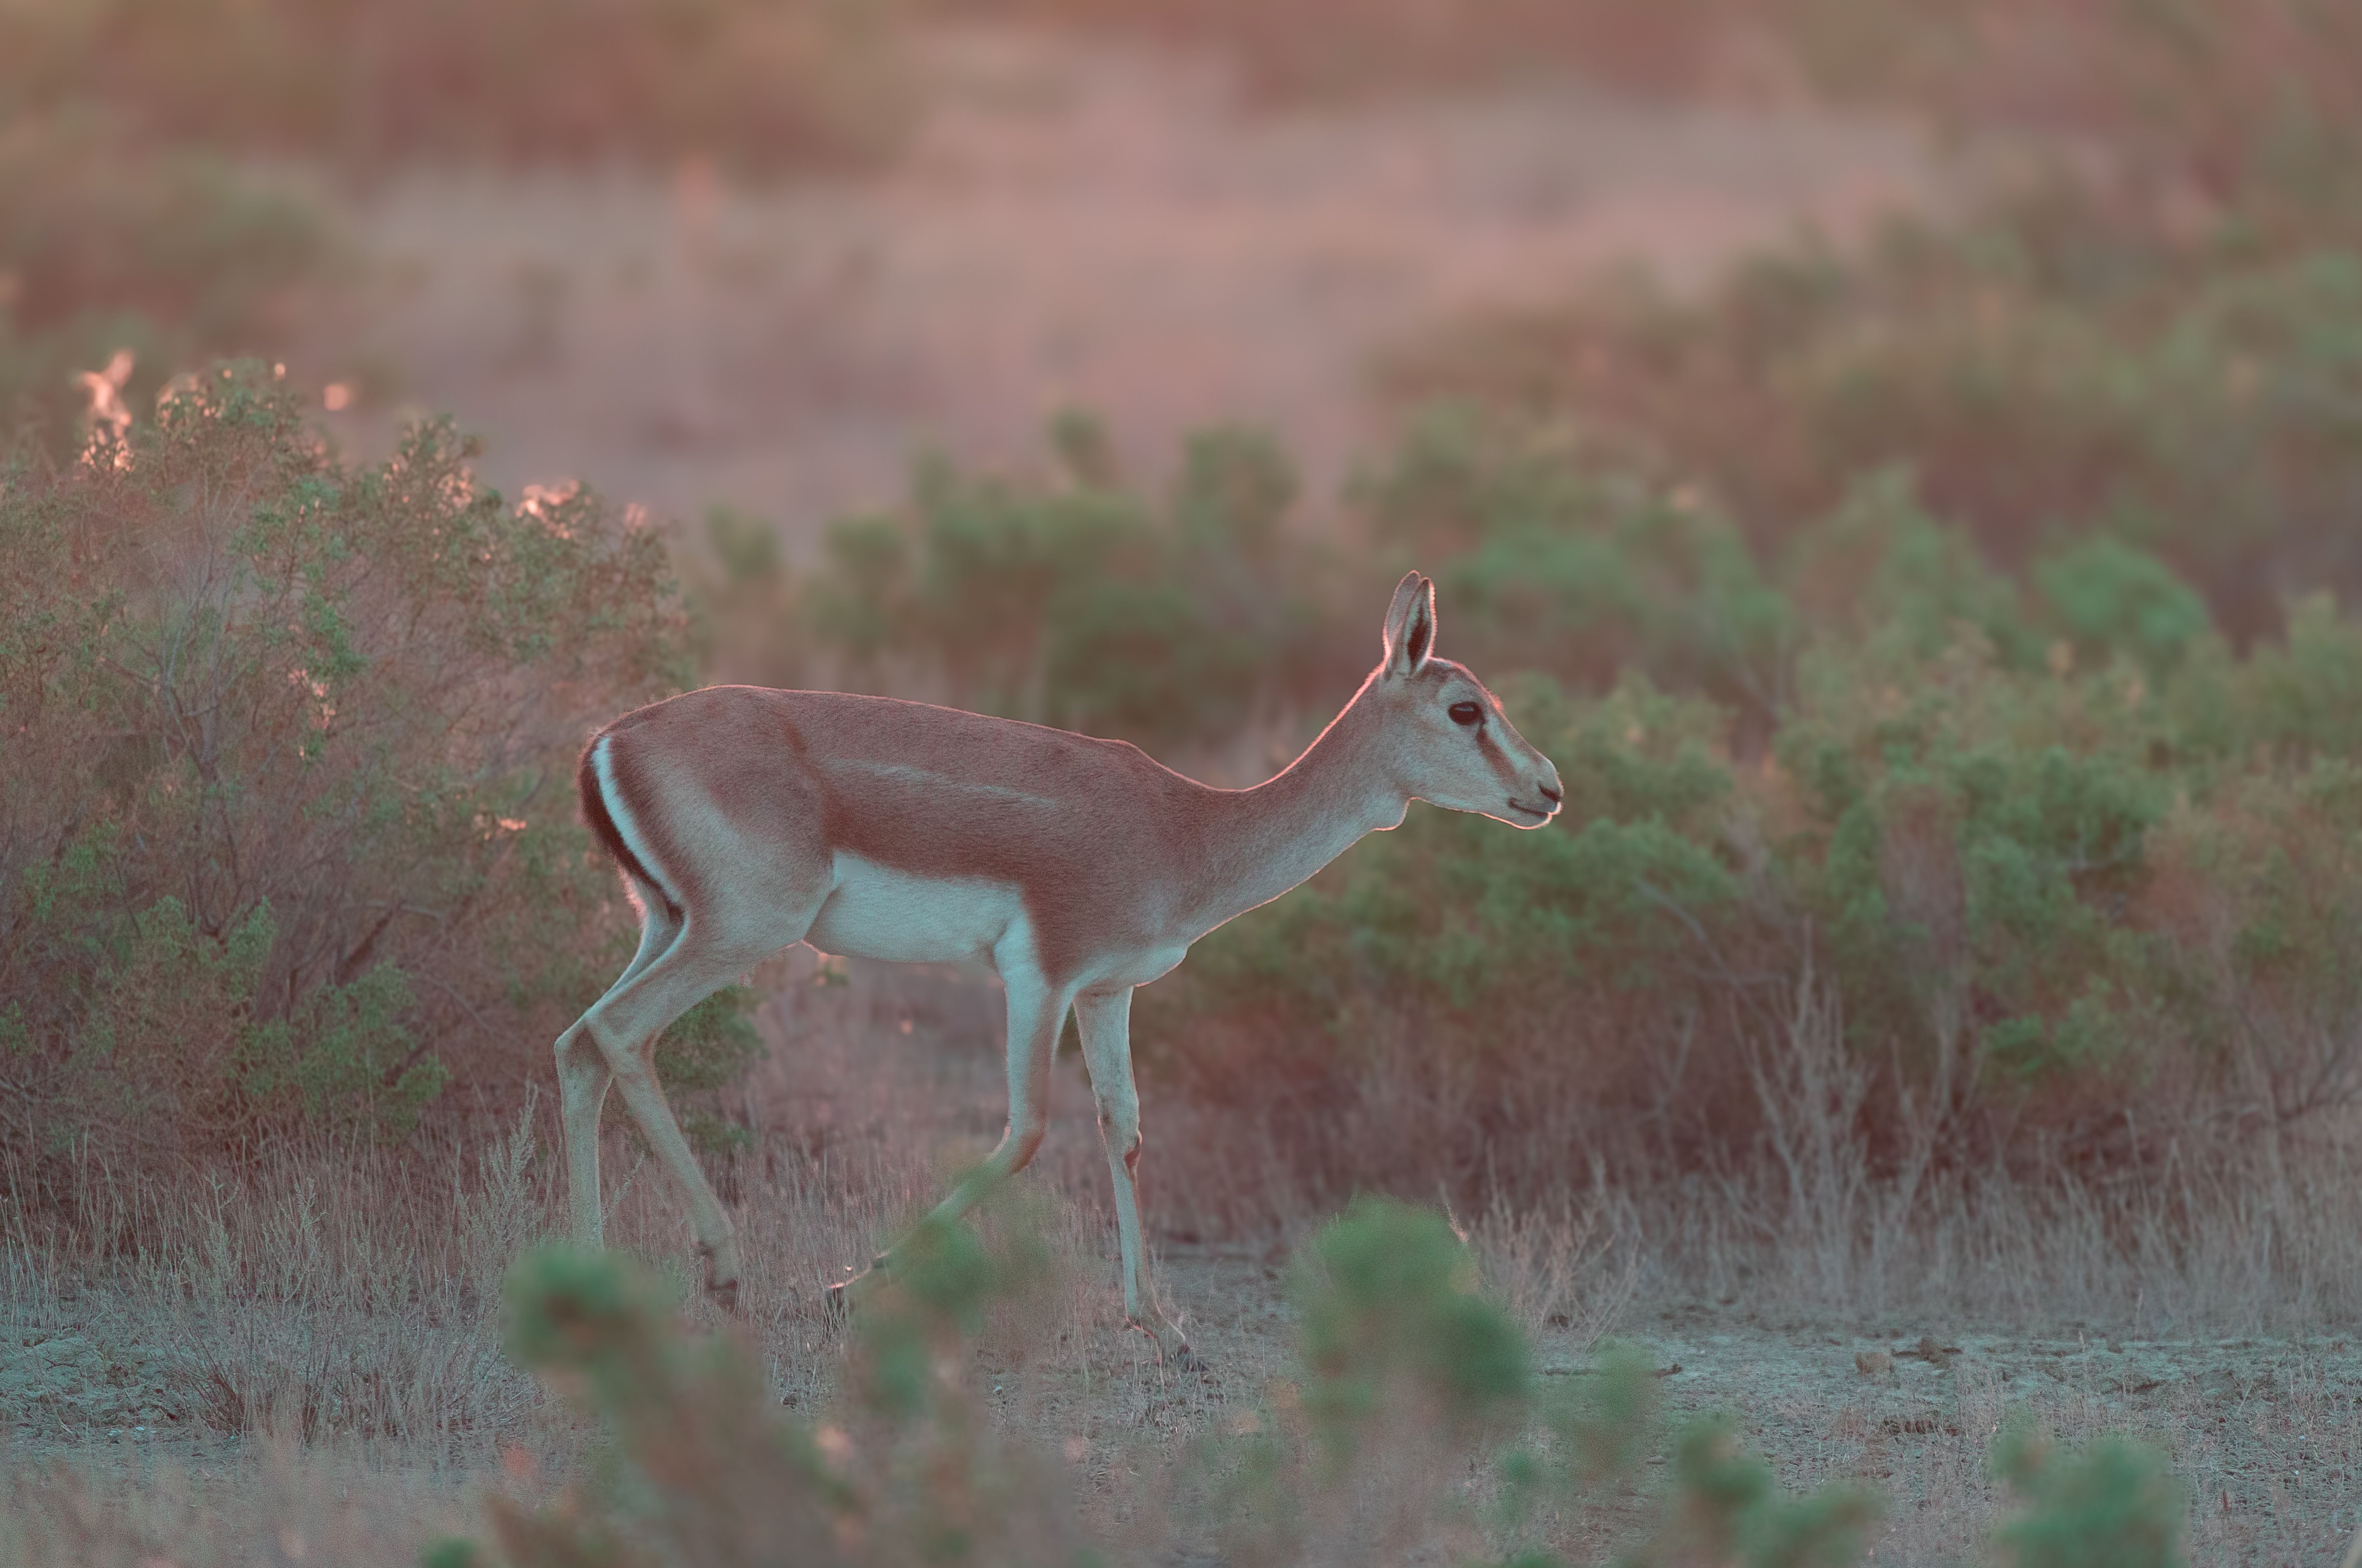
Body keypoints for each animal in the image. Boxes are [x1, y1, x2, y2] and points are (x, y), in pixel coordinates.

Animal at [555, 573, 1562, 1366]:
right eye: (1464, 708)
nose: (1547, 790)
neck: (1184, 832)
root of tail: (609, 740)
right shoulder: (1038, 976)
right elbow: (1028, 1130)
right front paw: (846, 1290)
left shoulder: (1109, 991)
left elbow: (1124, 1127)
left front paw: (1166, 1331)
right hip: (742, 931)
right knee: (620, 1031)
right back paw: (723, 1273)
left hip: (667, 923)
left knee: (578, 1042)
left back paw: (591, 1279)